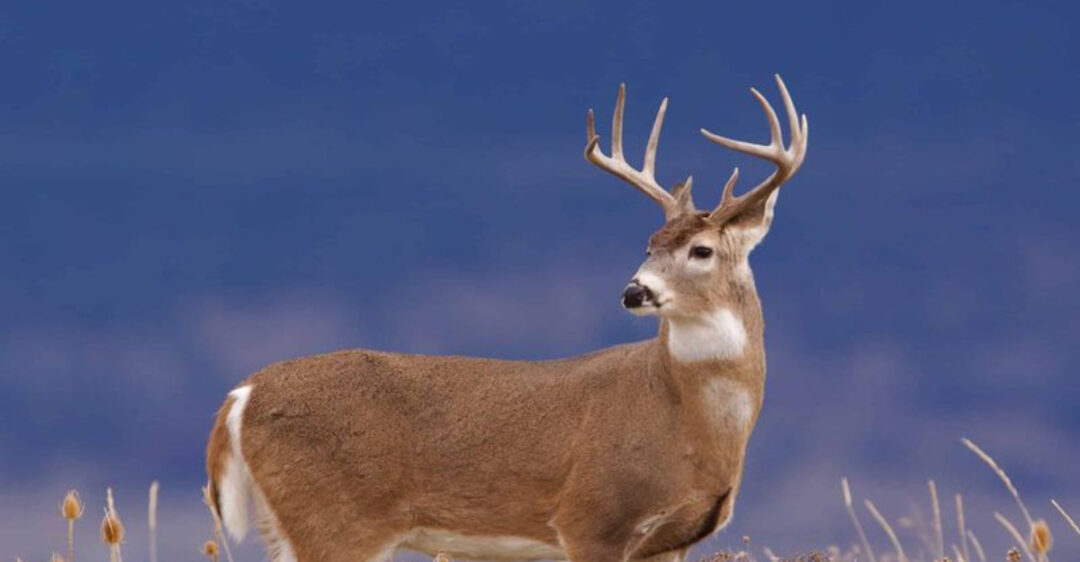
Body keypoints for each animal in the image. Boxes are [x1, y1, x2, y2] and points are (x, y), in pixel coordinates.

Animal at [205, 74, 808, 562]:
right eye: (650, 245)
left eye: (700, 250)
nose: (634, 290)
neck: (689, 421)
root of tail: (242, 395)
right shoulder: (590, 516)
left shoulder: (671, 541)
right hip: (336, 520)